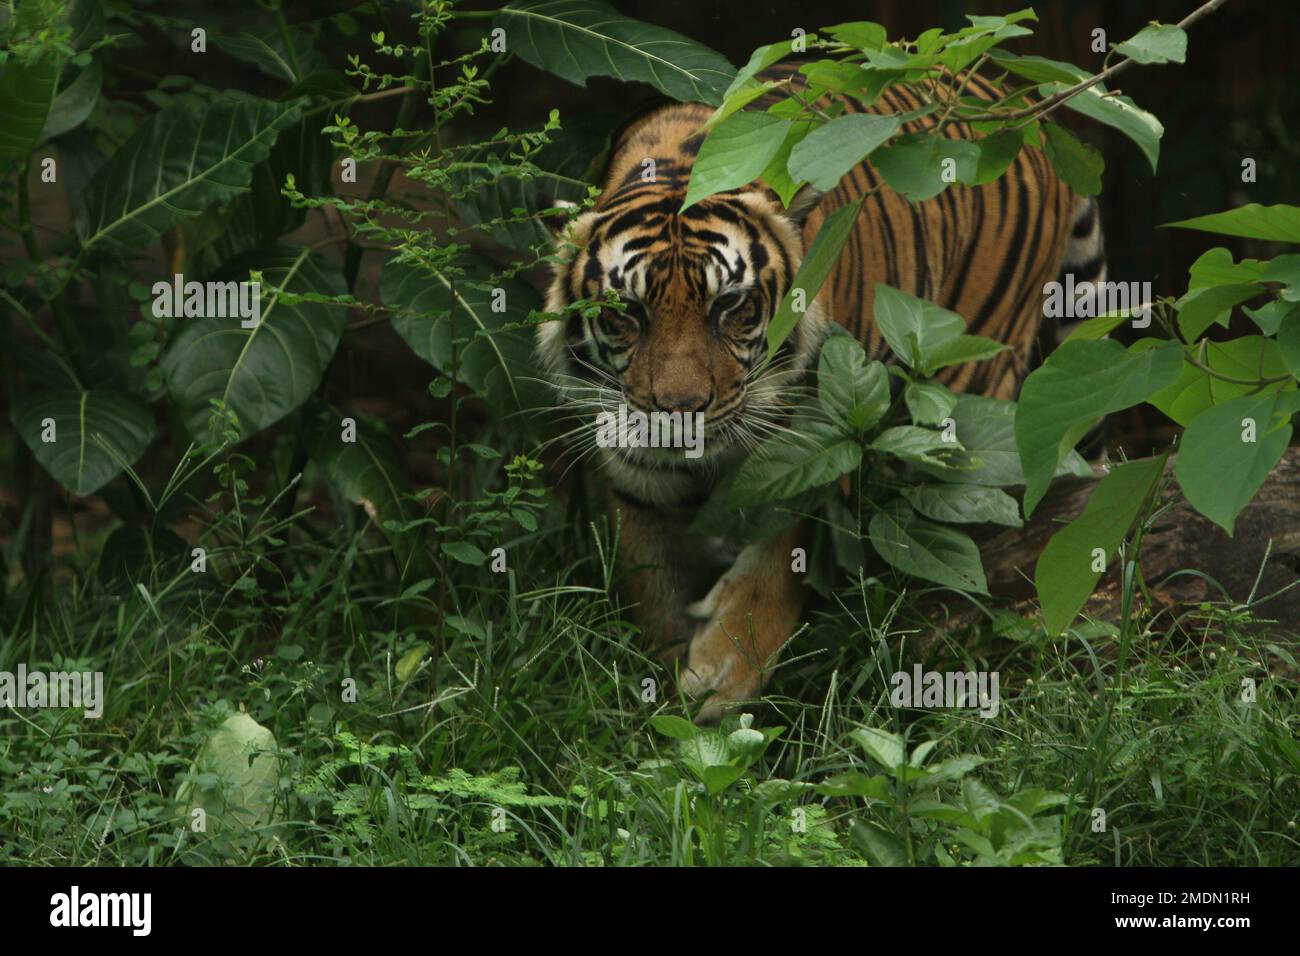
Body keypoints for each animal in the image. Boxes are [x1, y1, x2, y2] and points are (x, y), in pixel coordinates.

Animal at [537, 63, 1107, 721]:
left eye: (730, 305)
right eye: (626, 313)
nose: (680, 411)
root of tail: (1016, 99)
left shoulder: (809, 444)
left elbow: (774, 566)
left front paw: (724, 674)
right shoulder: (637, 473)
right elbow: (653, 586)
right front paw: (664, 690)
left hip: (967, 372)